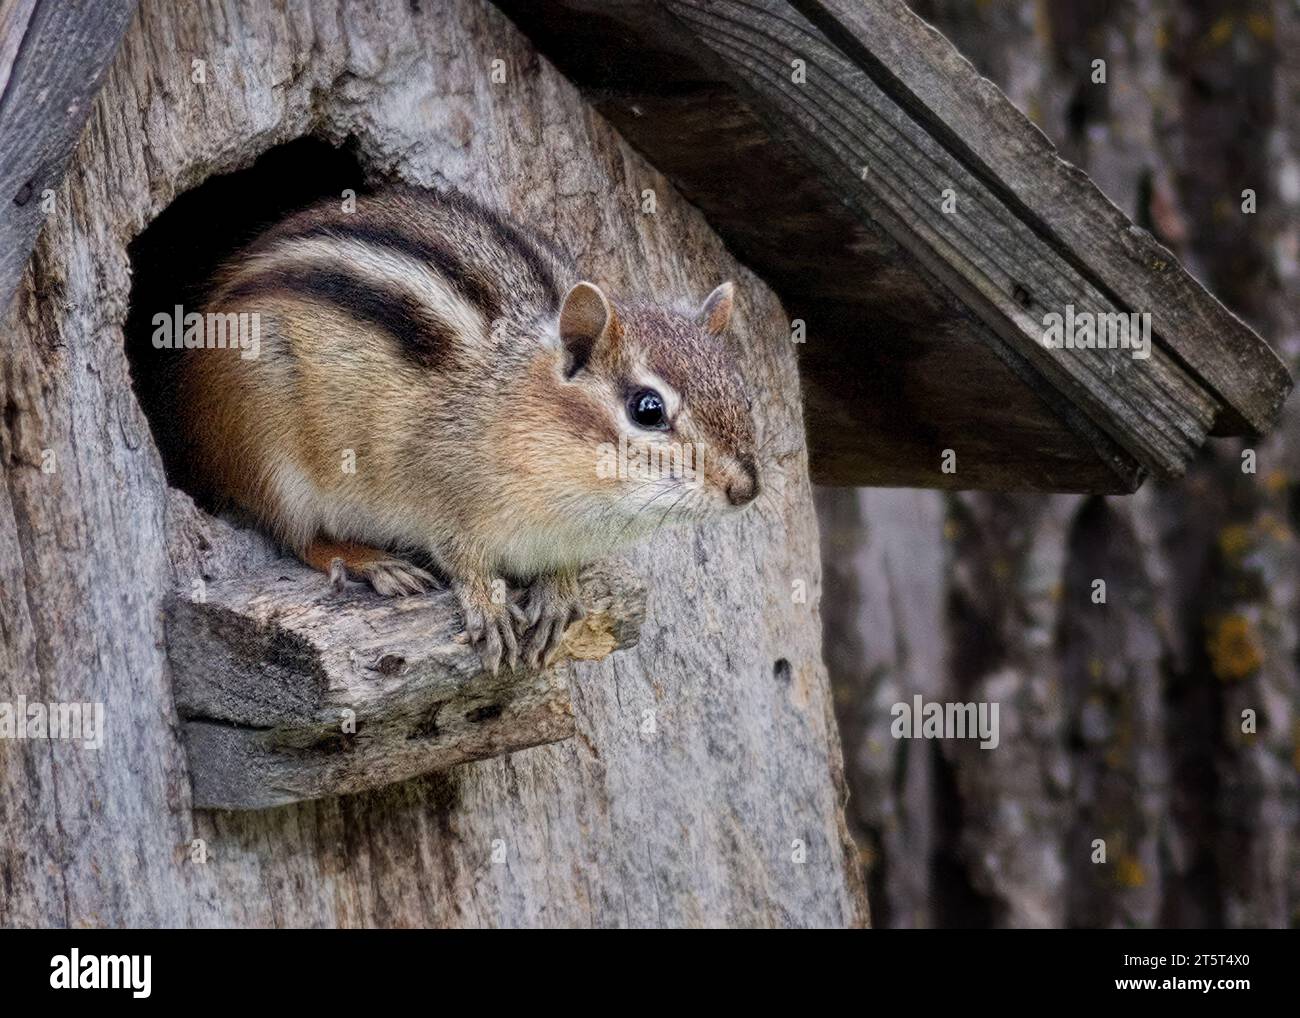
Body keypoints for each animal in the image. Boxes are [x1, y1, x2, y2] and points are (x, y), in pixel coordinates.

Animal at [178, 184, 759, 672]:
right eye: (647, 409)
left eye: (744, 394)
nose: (746, 490)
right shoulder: (437, 487)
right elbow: (459, 553)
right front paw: (489, 603)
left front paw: (557, 592)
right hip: (269, 453)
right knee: (298, 536)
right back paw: (374, 562)